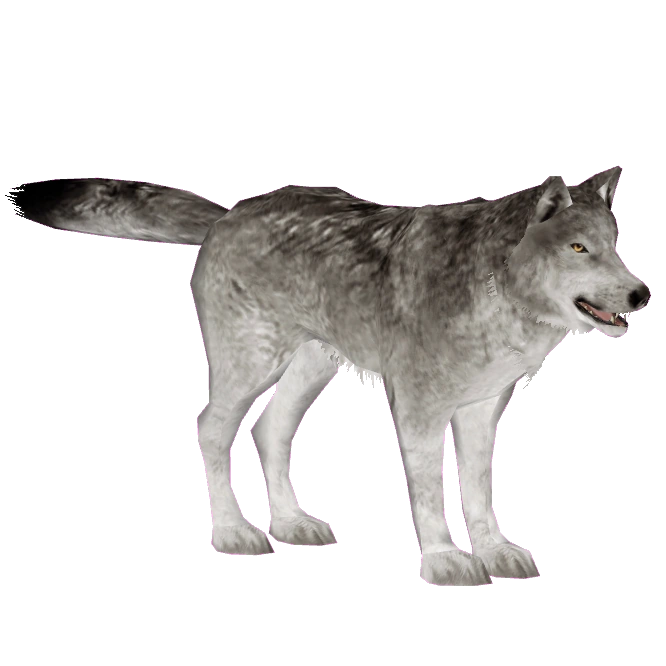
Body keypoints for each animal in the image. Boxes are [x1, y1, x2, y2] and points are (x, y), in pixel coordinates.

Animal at [4, 168, 650, 586]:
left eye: (614, 247)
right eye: (579, 248)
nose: (641, 294)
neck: (496, 290)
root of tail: (231, 212)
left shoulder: (479, 409)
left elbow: (480, 492)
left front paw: (493, 553)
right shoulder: (419, 410)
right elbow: (433, 495)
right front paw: (445, 562)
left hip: (310, 368)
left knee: (269, 429)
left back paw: (292, 524)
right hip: (253, 365)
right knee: (211, 431)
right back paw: (234, 534)